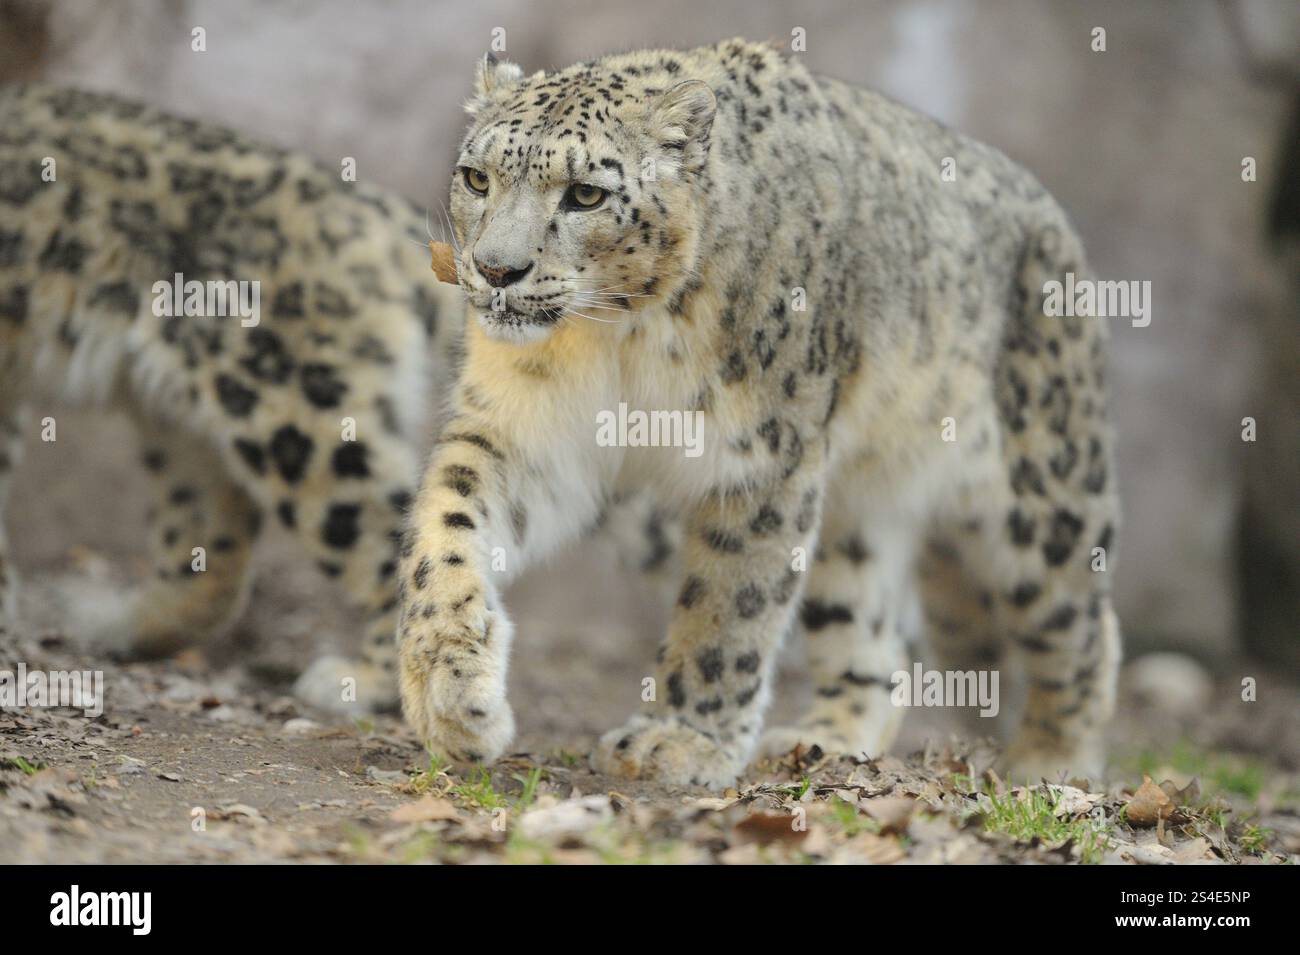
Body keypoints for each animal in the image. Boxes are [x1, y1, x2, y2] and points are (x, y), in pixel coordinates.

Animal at [0, 82, 463, 713]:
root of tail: (379, 210)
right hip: (184, 416)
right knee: (210, 547)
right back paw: (117, 625)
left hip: (296, 412)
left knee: (389, 530)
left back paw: (360, 681)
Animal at [399, 38, 1123, 788]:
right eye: (476, 178)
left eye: (586, 194)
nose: (496, 269)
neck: (614, 341)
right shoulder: (523, 430)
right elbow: (449, 524)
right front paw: (452, 694)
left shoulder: (762, 454)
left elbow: (730, 602)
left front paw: (680, 738)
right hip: (855, 511)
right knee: (875, 630)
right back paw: (828, 738)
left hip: (1040, 492)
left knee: (1081, 619)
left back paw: (1055, 758)